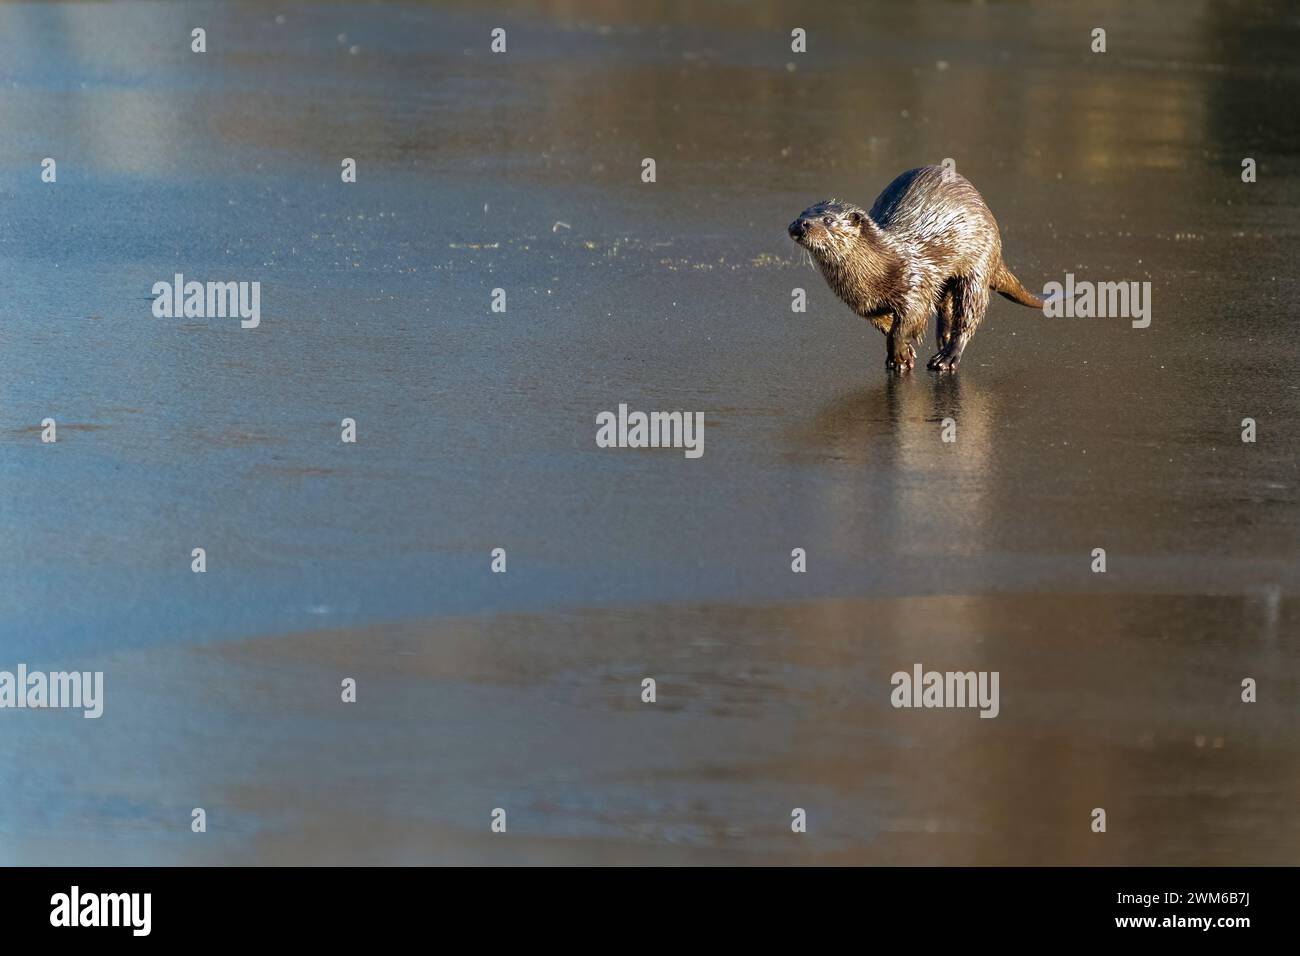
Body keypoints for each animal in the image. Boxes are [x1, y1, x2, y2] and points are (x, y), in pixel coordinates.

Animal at [788, 166, 1043, 371]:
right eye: (801, 213)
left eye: (828, 220)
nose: (799, 224)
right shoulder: (864, 305)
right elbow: (885, 323)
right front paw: (905, 354)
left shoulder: (916, 283)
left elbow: (908, 322)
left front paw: (900, 352)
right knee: (946, 309)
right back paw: (942, 341)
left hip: (977, 265)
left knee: (969, 312)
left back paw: (947, 358)